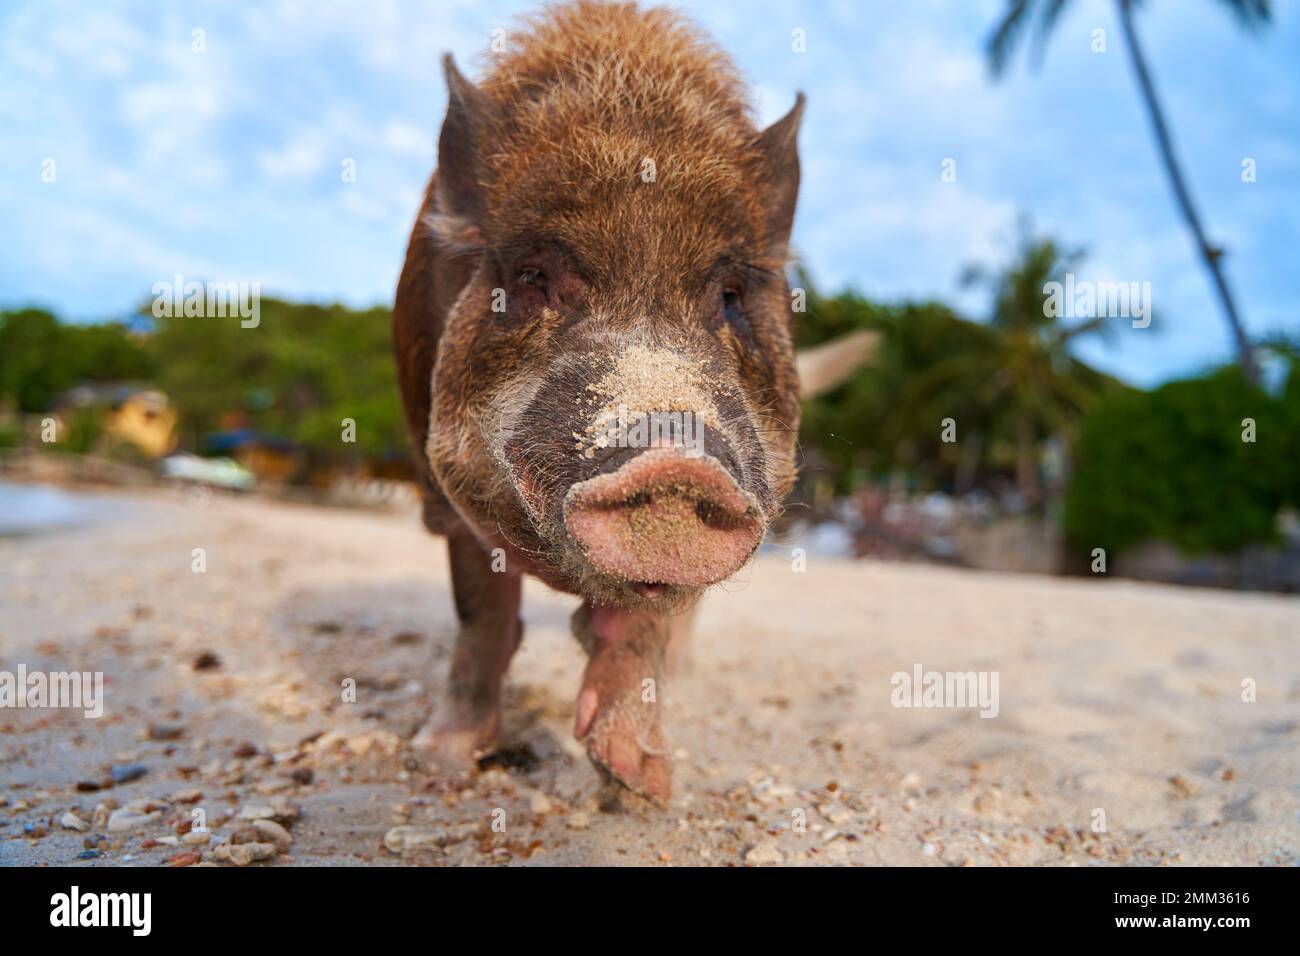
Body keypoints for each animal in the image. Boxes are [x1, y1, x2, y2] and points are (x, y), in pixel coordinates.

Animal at [392, 0, 808, 804]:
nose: (676, 464)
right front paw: (440, 761)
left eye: (731, 295)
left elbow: (646, 620)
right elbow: (480, 612)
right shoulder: (445, 493)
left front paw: (645, 784)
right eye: (532, 277)